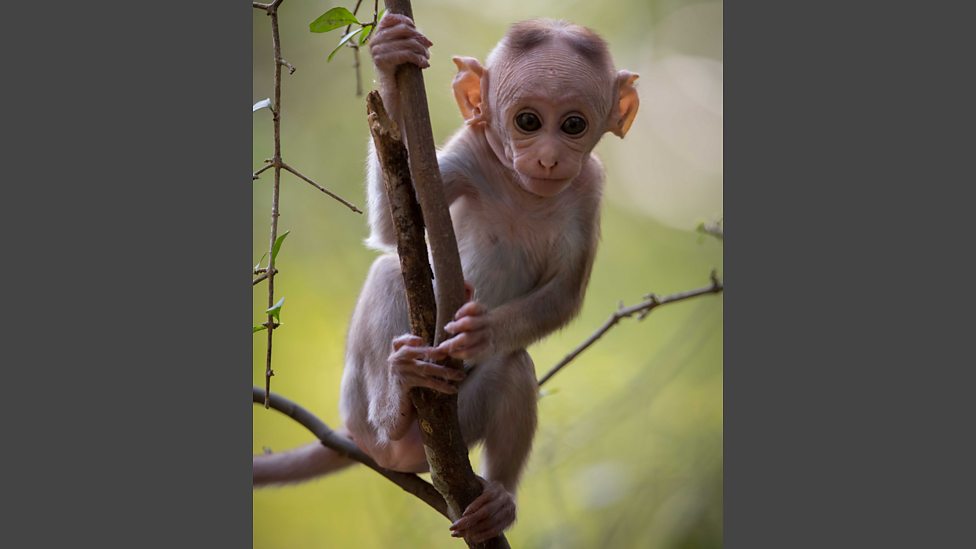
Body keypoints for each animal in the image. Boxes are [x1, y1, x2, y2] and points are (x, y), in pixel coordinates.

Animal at [253, 14, 639, 543]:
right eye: (528, 121)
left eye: (573, 125)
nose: (548, 159)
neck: (523, 192)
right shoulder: (468, 153)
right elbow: (392, 226)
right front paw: (390, 58)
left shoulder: (588, 190)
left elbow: (564, 296)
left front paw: (481, 332)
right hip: (356, 405)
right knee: (389, 272)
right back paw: (397, 407)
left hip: (460, 419)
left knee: (513, 367)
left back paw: (497, 499)